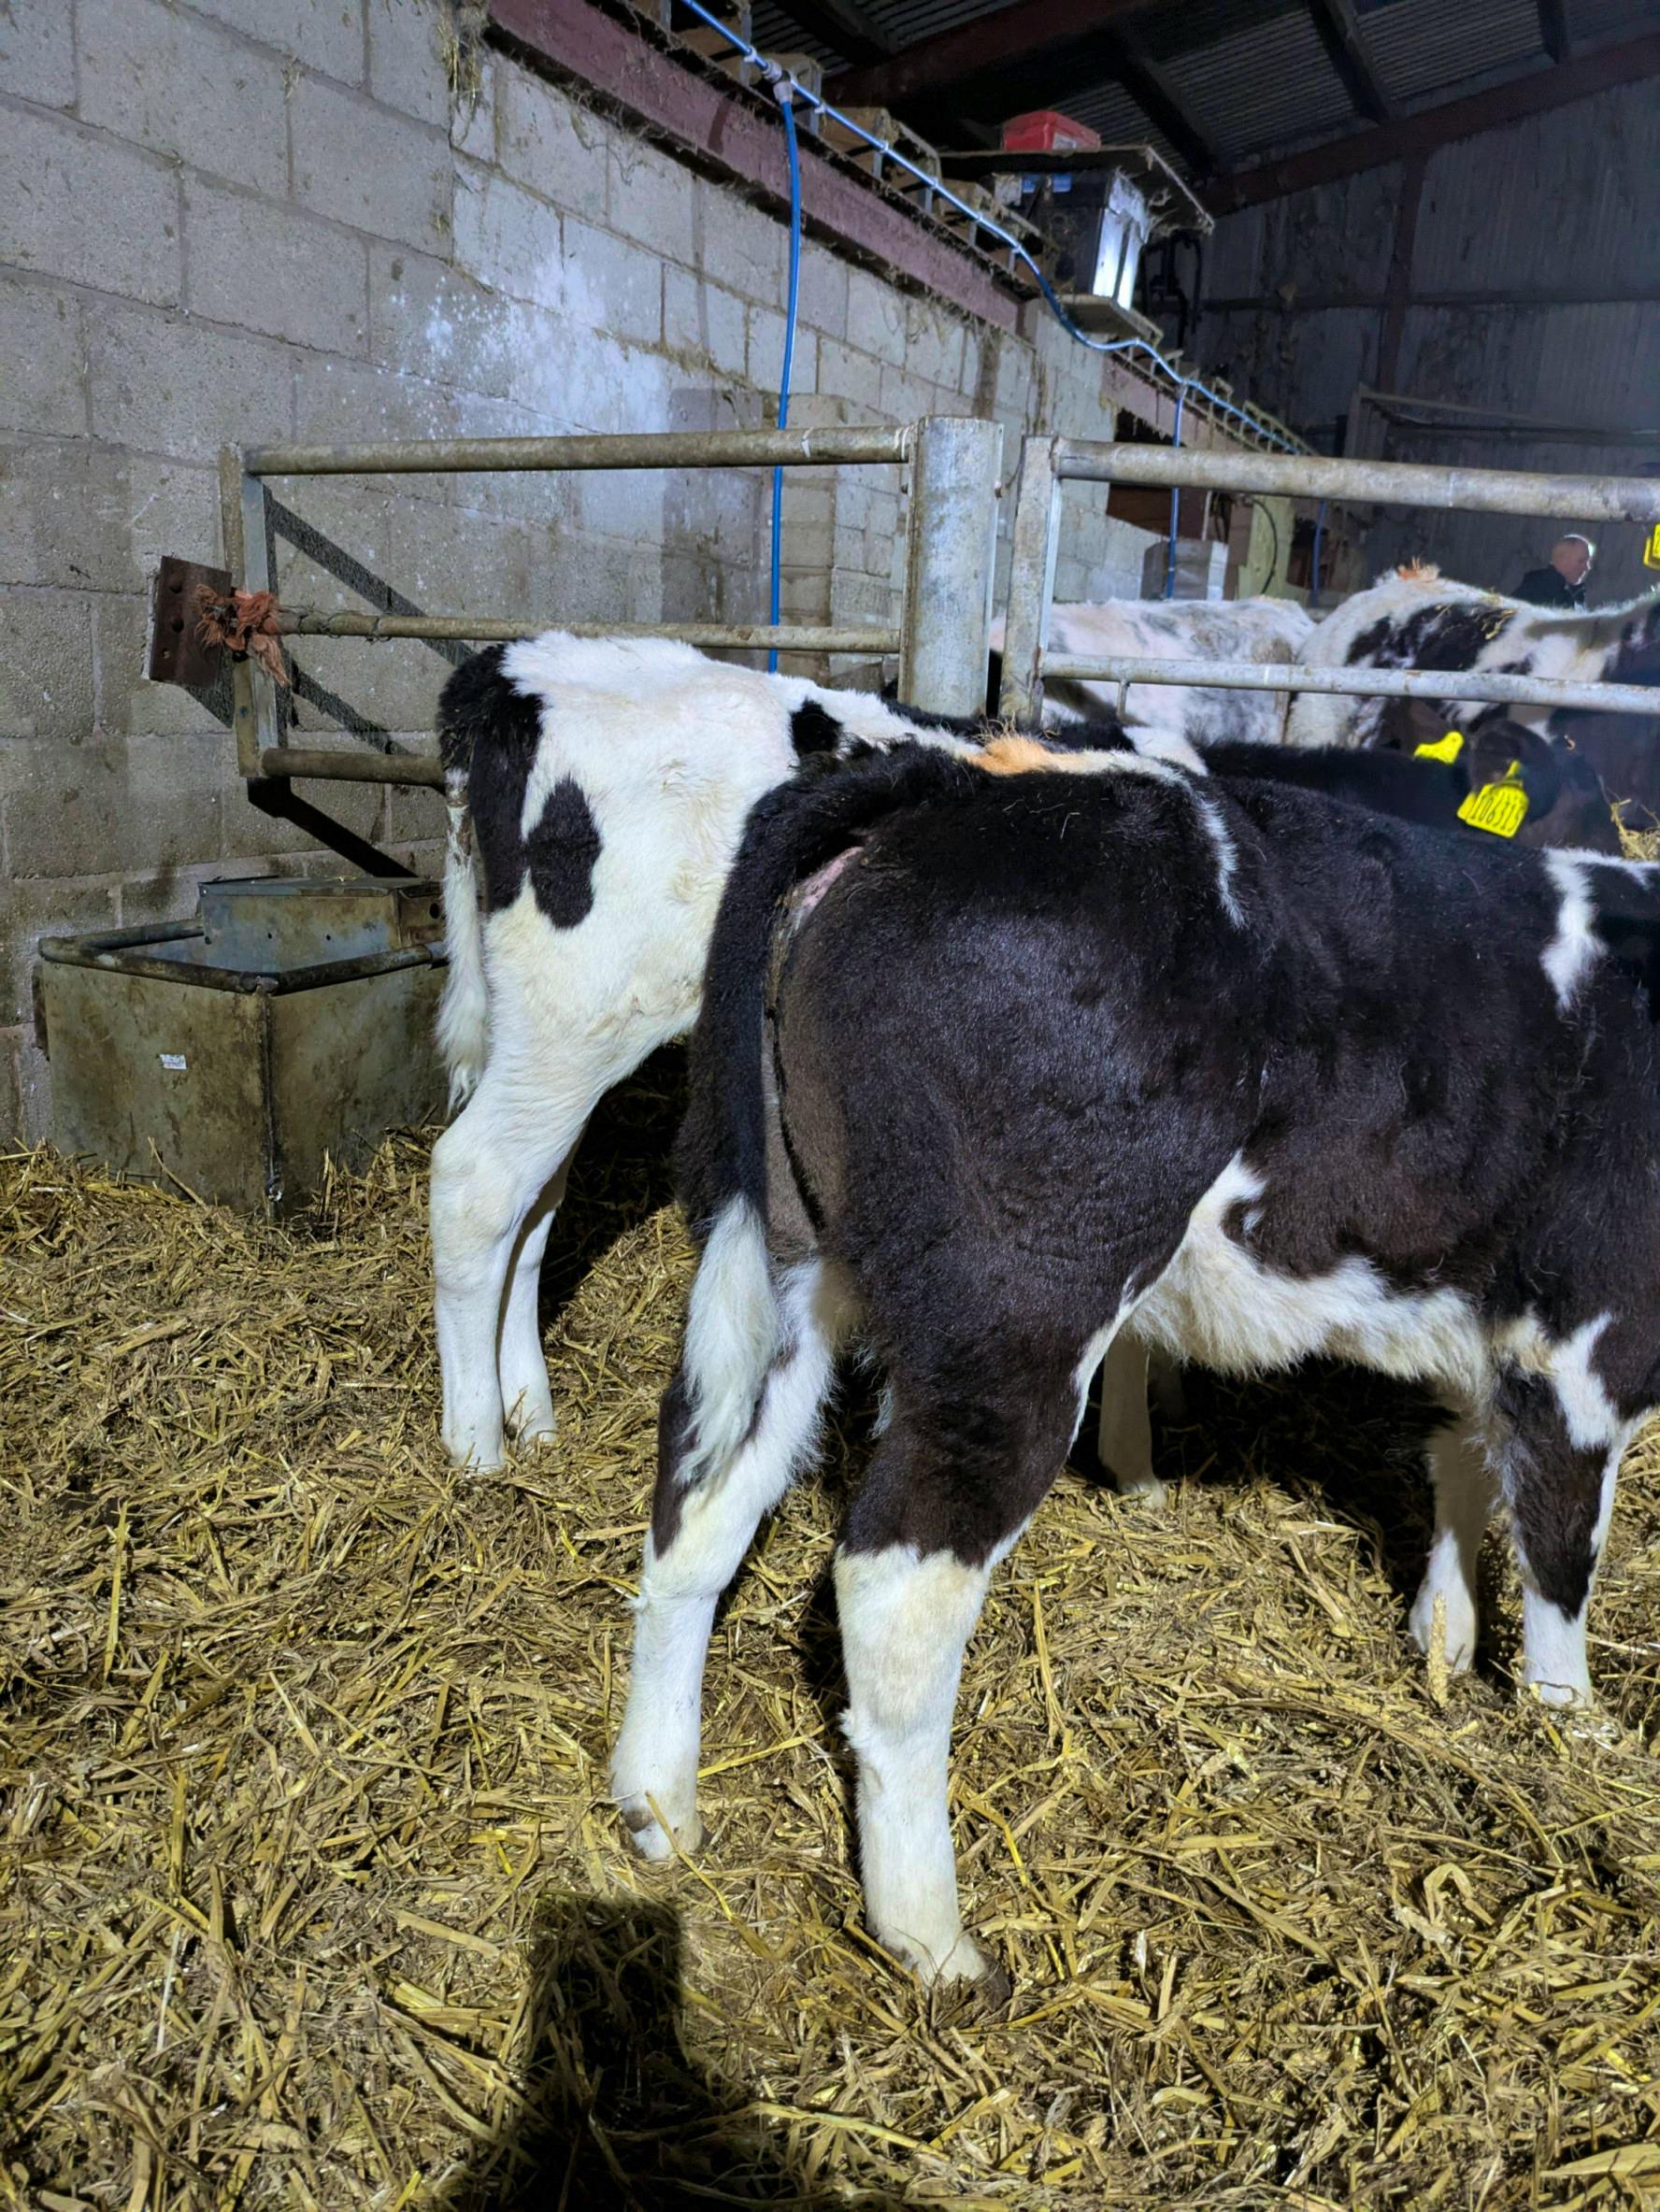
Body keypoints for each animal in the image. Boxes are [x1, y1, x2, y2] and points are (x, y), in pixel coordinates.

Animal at [612, 732, 1660, 1993]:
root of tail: (946, 784)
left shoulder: (1484, 1319)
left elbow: (1463, 1457)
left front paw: (1443, 1640)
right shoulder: (1591, 1338)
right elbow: (1561, 1550)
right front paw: (1575, 1733)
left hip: (784, 1265)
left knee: (697, 1498)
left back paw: (657, 1808)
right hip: (1017, 1314)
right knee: (894, 1585)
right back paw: (931, 1937)